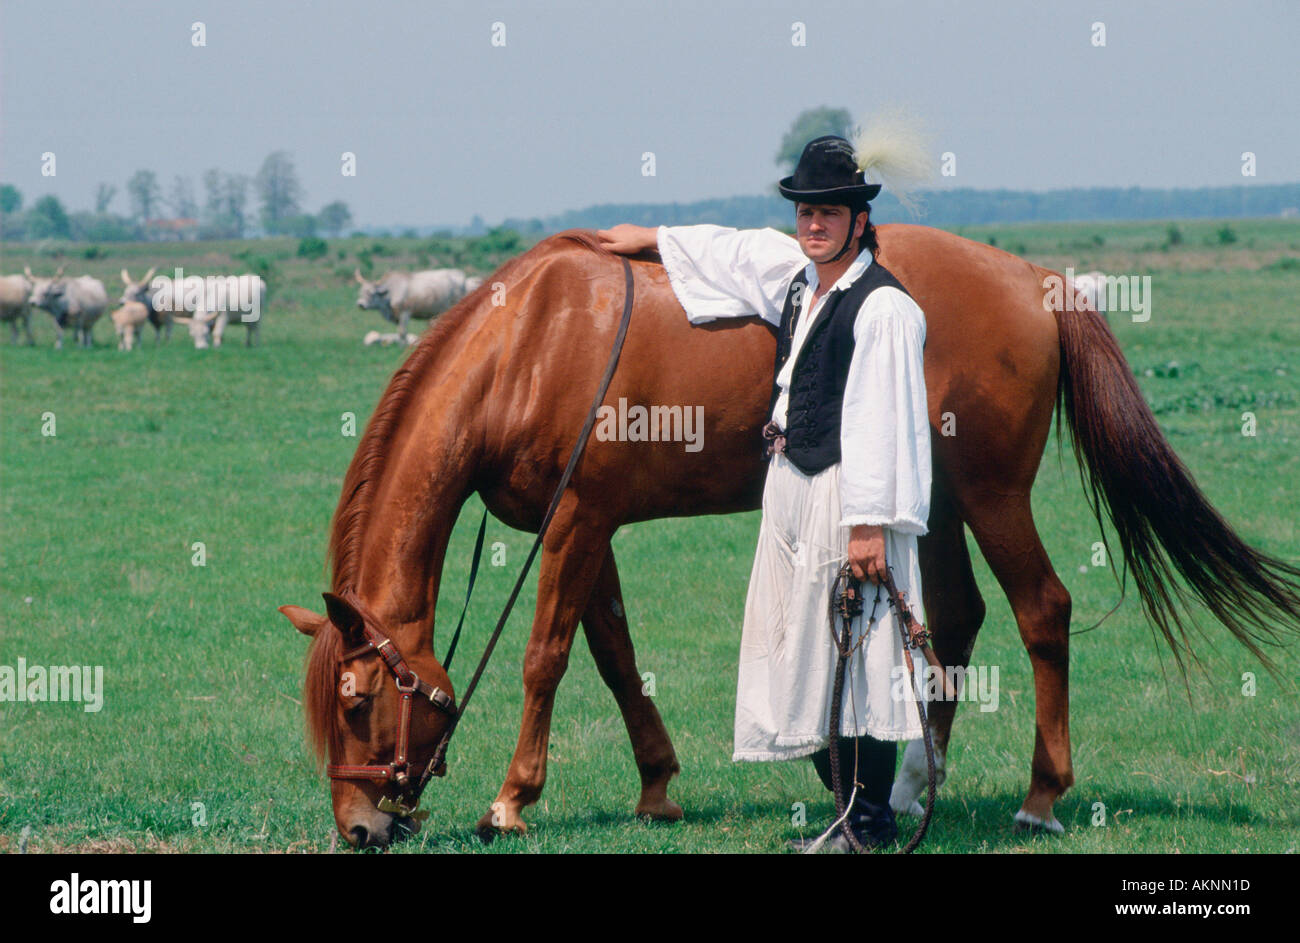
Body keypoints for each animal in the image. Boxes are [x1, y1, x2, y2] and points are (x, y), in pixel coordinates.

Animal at [278, 225, 1300, 849]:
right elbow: (614, 655)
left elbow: (546, 658)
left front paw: (510, 799)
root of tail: (1037, 281)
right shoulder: (592, 525)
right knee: (952, 621)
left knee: (1042, 611)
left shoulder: (576, 521)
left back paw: (1040, 796)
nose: (359, 826)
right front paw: (658, 786)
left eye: (360, 703)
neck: (530, 344)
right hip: (929, 503)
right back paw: (906, 788)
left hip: (990, 493)